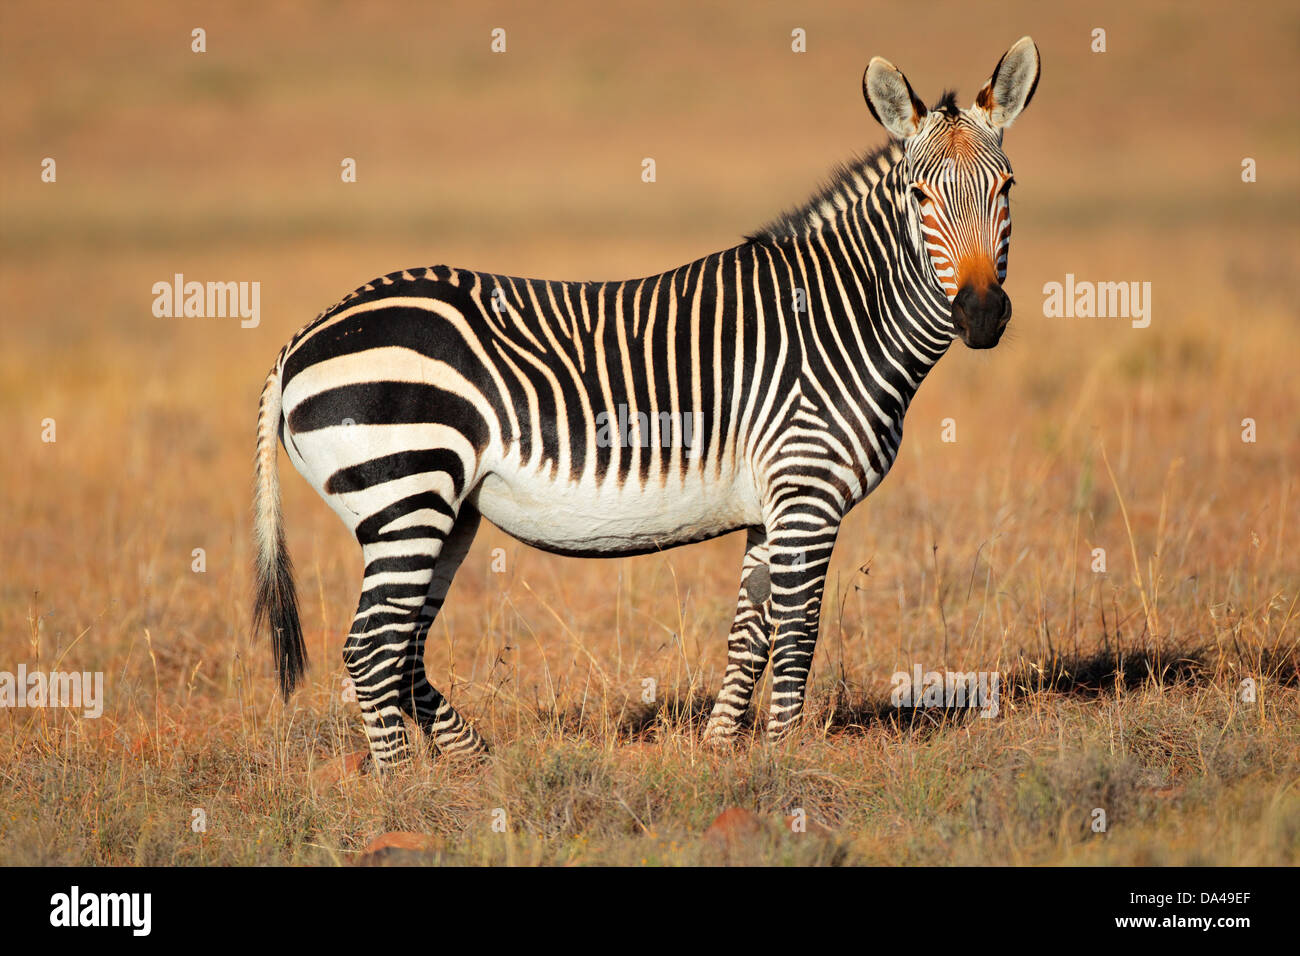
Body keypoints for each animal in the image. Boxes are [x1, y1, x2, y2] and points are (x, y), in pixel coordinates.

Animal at [252, 38, 1041, 768]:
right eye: (920, 197)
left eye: (1006, 187)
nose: (981, 315)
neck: (839, 318)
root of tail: (301, 338)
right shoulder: (807, 492)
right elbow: (799, 631)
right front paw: (788, 757)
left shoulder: (771, 506)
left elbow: (750, 634)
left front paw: (723, 750)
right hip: (404, 492)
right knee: (371, 649)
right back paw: (402, 785)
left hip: (444, 510)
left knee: (404, 647)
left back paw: (472, 762)